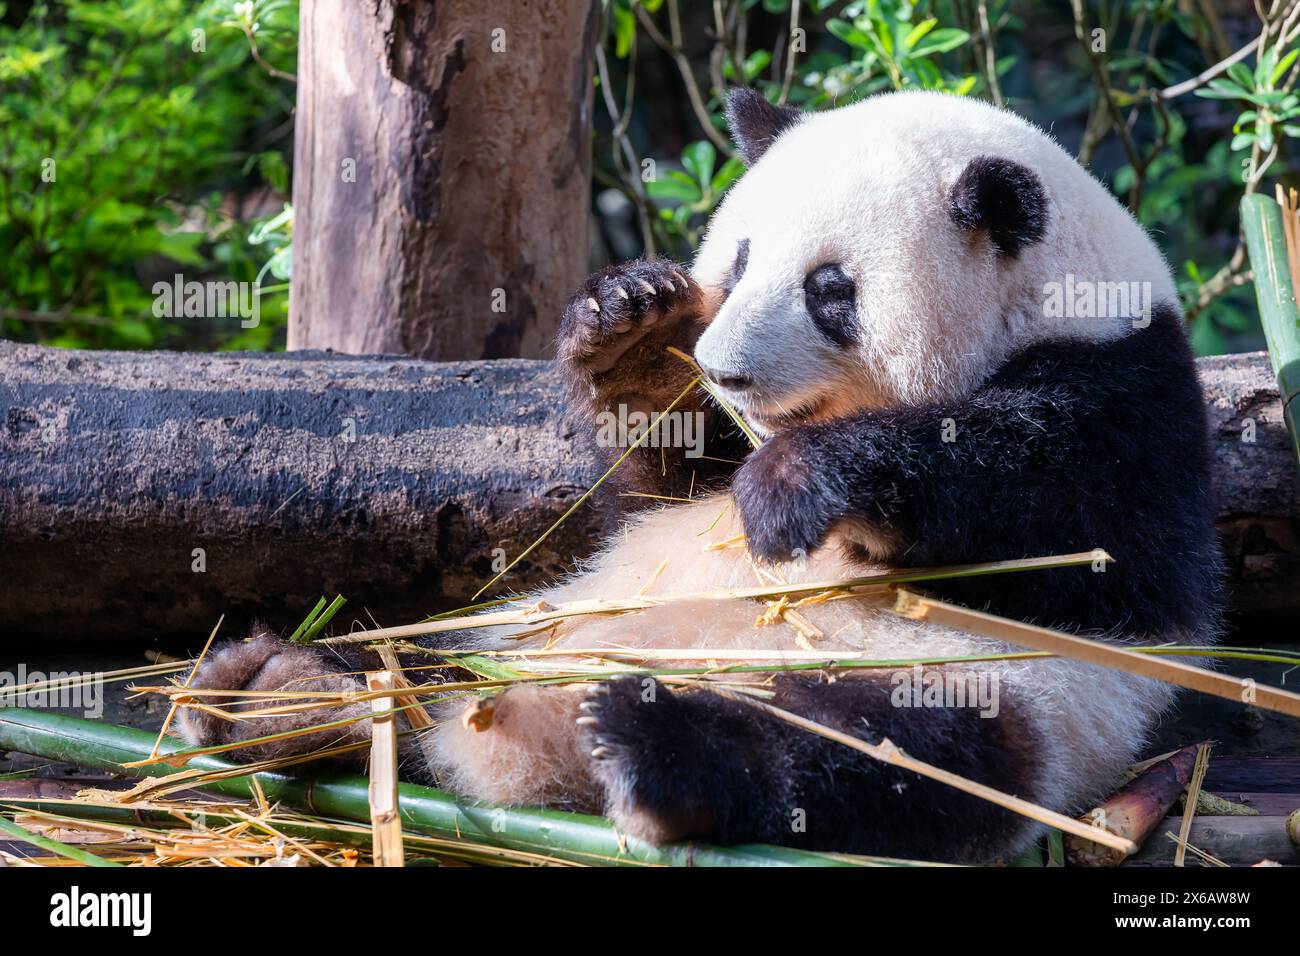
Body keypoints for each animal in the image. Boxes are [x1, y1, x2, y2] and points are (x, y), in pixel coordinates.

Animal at [180, 89, 1223, 864]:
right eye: (742, 256)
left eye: (831, 290)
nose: (724, 369)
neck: (1056, 306)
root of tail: (528, 754)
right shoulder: (682, 478)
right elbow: (660, 482)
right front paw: (633, 325)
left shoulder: (1138, 406)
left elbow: (1059, 516)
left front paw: (792, 488)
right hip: (522, 624)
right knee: (418, 662)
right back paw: (276, 690)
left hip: (990, 695)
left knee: (876, 755)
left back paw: (656, 750)